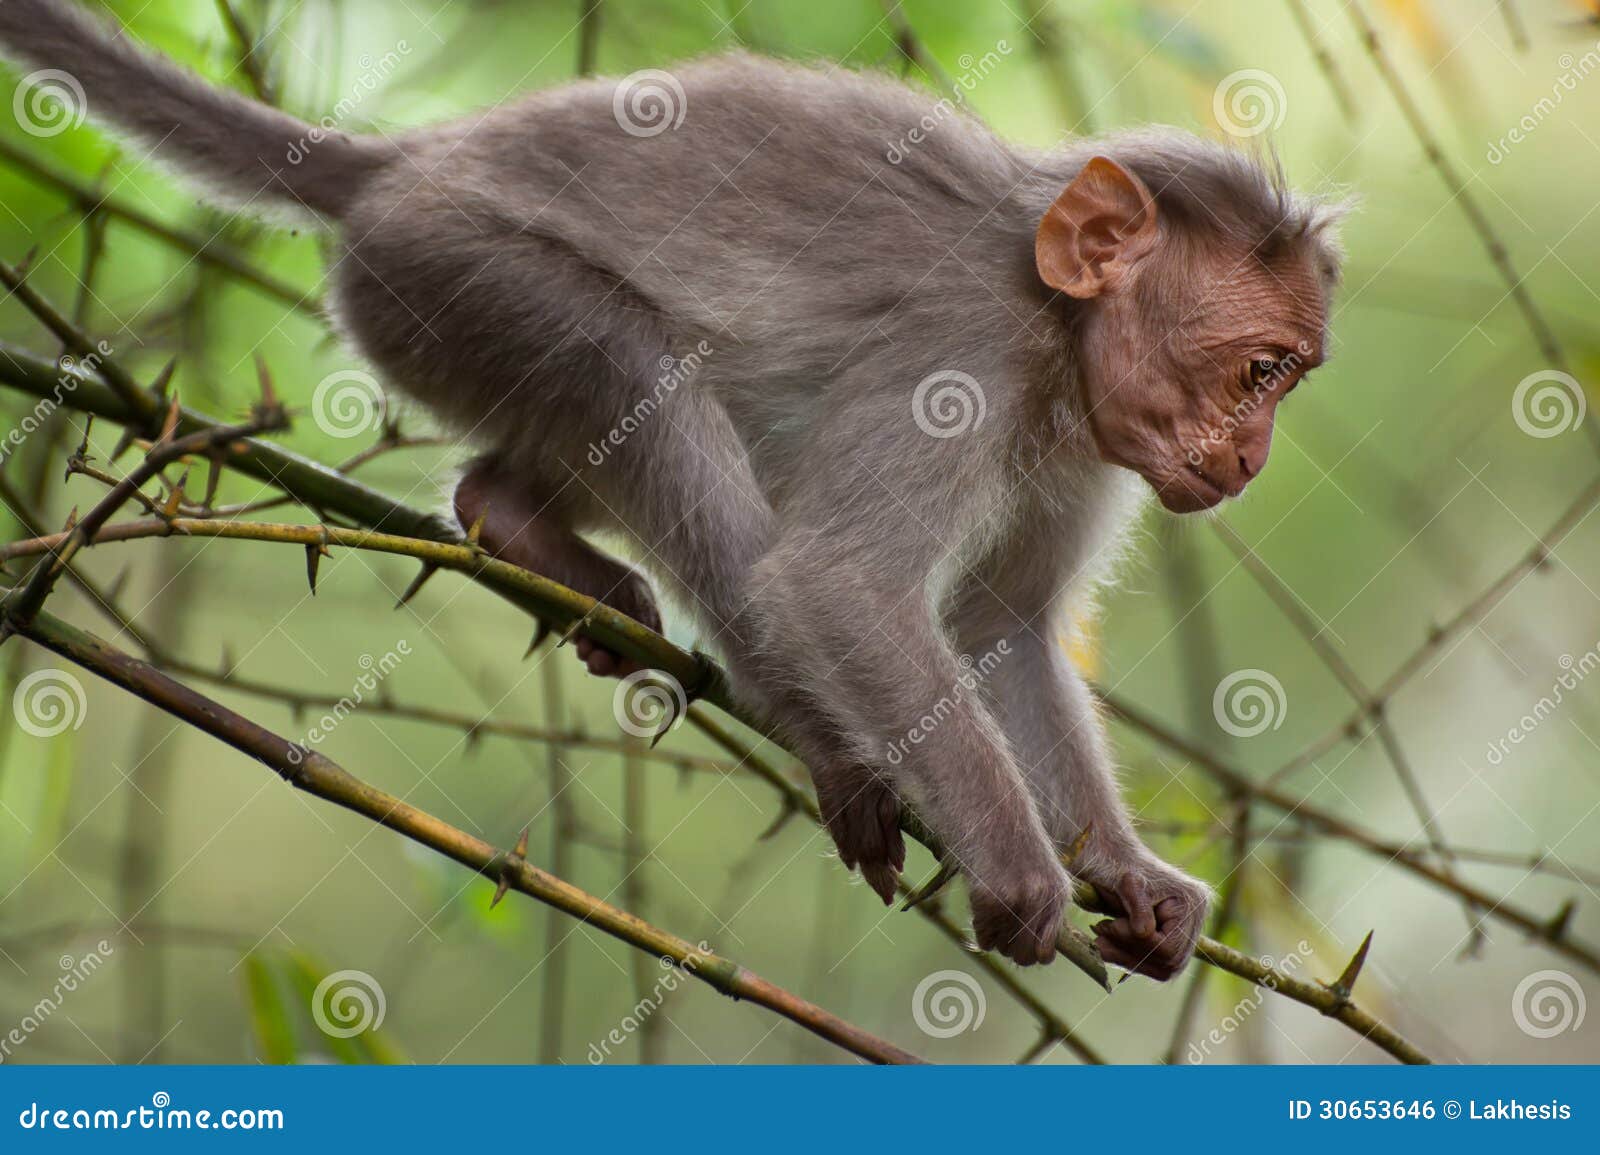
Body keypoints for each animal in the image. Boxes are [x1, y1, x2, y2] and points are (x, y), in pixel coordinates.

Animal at [0, 0, 1343, 976]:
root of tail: (410, 162)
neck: (1053, 335)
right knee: (638, 369)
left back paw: (511, 518)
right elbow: (843, 585)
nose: (1249, 458)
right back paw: (829, 749)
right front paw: (1021, 870)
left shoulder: (1082, 438)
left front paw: (1128, 876)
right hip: (439, 273)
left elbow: (999, 627)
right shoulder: (959, 353)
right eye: (1257, 371)